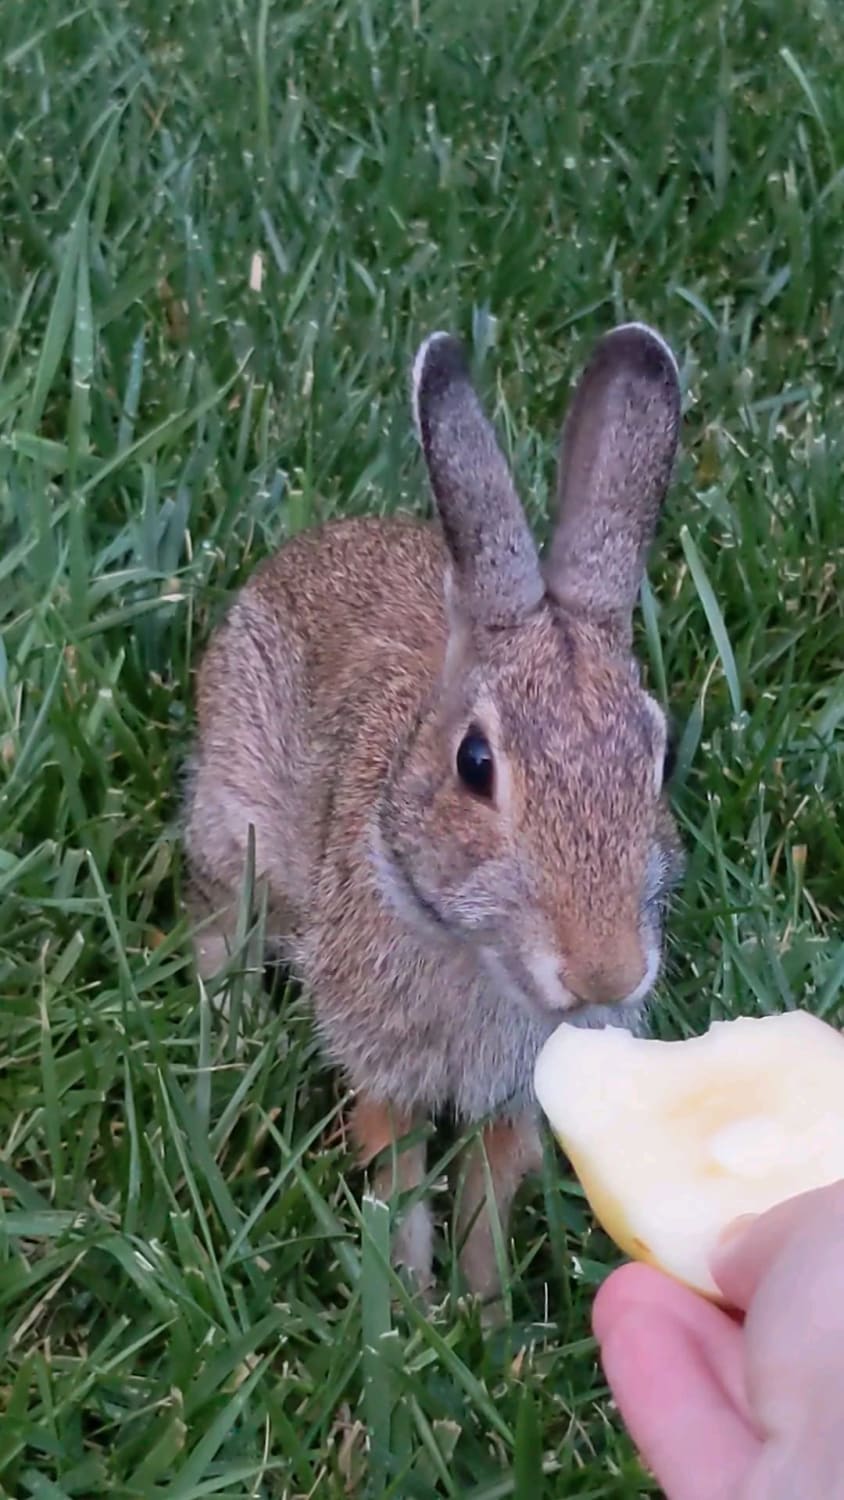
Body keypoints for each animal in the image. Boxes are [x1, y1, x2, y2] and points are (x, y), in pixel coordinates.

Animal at [184, 322, 684, 1307]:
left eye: (661, 757)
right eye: (475, 765)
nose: (604, 974)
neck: (477, 955)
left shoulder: (519, 1095)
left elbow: (492, 1189)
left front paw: (485, 1316)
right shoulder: (384, 1059)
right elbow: (399, 1174)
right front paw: (409, 1306)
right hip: (233, 832)